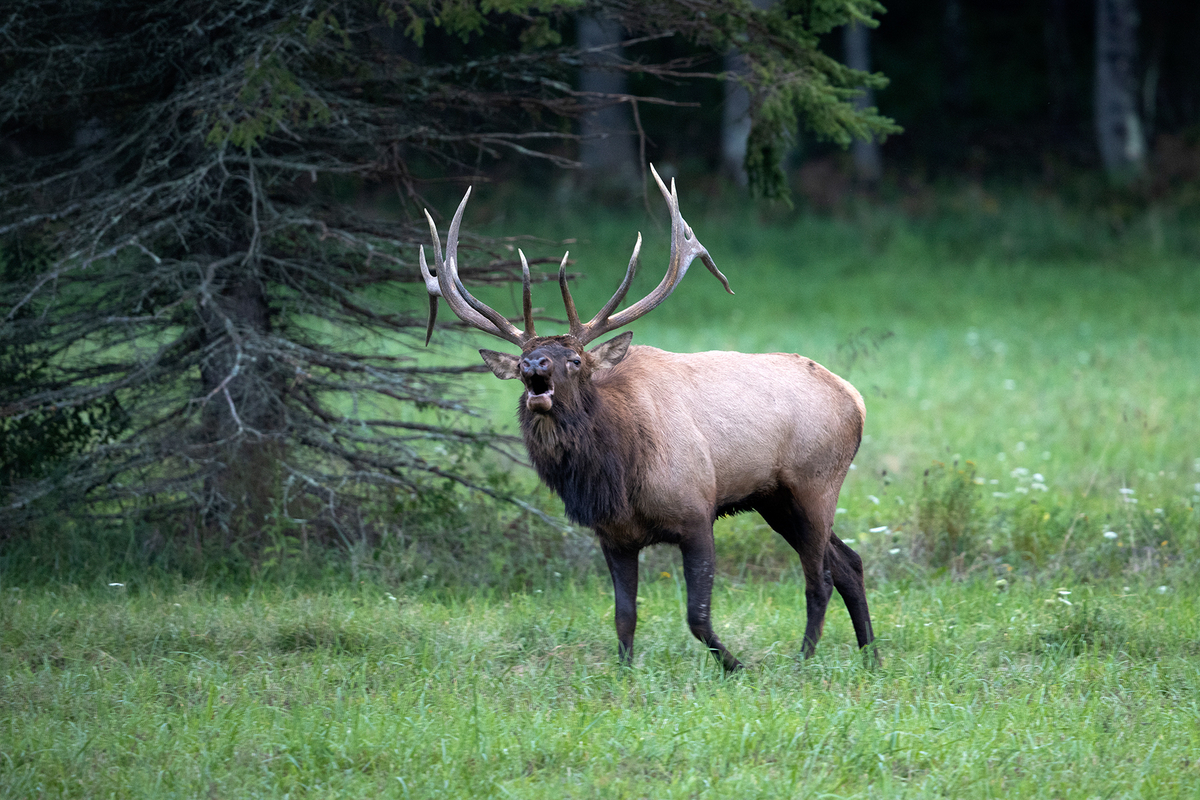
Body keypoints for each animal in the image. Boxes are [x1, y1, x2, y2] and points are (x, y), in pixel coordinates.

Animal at [419, 166, 876, 671]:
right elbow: (624, 616)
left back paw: (803, 660)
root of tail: (855, 400)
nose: (534, 365)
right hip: (774, 499)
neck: (617, 475)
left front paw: (736, 665)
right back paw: (871, 657)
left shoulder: (696, 511)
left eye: (574, 360)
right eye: (524, 361)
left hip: (815, 482)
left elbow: (697, 615)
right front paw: (624, 673)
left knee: (821, 577)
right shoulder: (614, 535)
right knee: (849, 563)